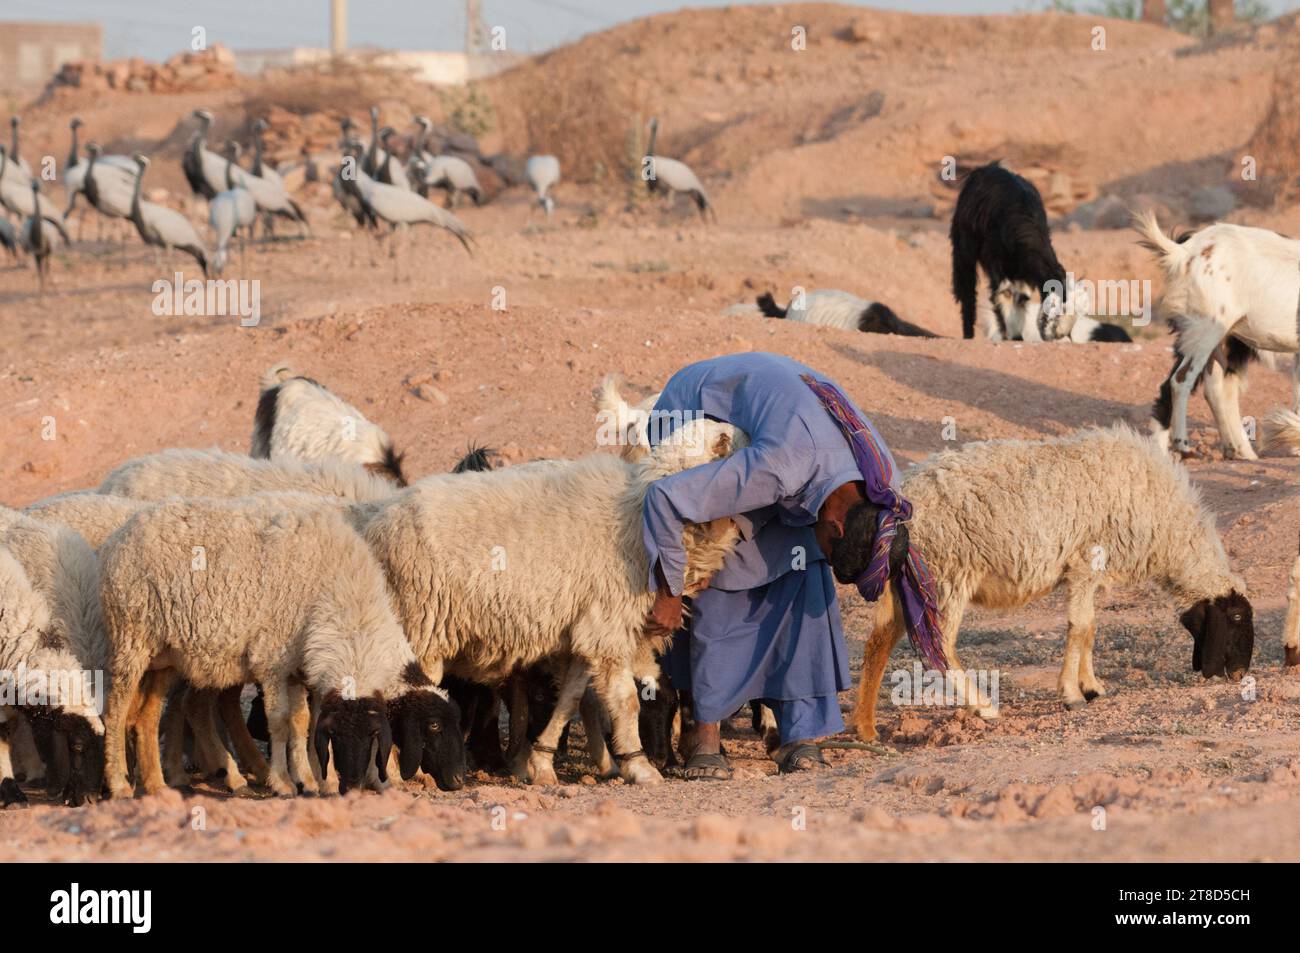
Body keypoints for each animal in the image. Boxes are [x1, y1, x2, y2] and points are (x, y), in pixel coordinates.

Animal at [98, 494, 465, 799]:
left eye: (374, 733)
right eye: (433, 725)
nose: (458, 781)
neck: (342, 597)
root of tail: (123, 532)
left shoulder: (300, 668)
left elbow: (305, 722)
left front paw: (316, 781)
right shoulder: (272, 661)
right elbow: (279, 721)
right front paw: (285, 783)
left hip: (165, 656)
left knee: (147, 717)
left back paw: (158, 785)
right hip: (130, 639)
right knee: (116, 710)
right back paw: (120, 783)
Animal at [361, 419, 745, 786]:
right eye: (735, 442)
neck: (642, 513)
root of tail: (373, 525)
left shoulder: (582, 630)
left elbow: (570, 699)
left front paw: (543, 763)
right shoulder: (608, 626)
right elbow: (625, 701)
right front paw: (640, 768)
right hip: (419, 624)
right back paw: (396, 773)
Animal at [847, 425, 1255, 741]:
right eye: (1235, 618)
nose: (1239, 675)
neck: (1168, 528)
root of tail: (897, 501)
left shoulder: (1090, 572)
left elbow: (1090, 628)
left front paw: (1092, 686)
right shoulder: (1085, 562)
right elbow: (1080, 627)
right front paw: (1072, 694)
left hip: (907, 581)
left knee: (879, 641)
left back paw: (866, 727)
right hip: (947, 573)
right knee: (940, 648)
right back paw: (983, 705)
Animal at [950, 162, 1078, 340]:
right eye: (1054, 314)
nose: (1058, 337)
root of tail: (988, 168)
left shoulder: (1021, 274)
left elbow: (1020, 299)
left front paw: (1017, 336)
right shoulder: (995, 261)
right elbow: (1001, 294)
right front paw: (1009, 335)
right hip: (963, 248)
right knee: (967, 289)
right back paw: (969, 335)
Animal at [1134, 213, 1300, 459]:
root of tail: (1184, 253)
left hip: (1213, 337)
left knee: (1214, 388)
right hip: (1207, 331)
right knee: (1180, 380)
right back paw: (1182, 445)